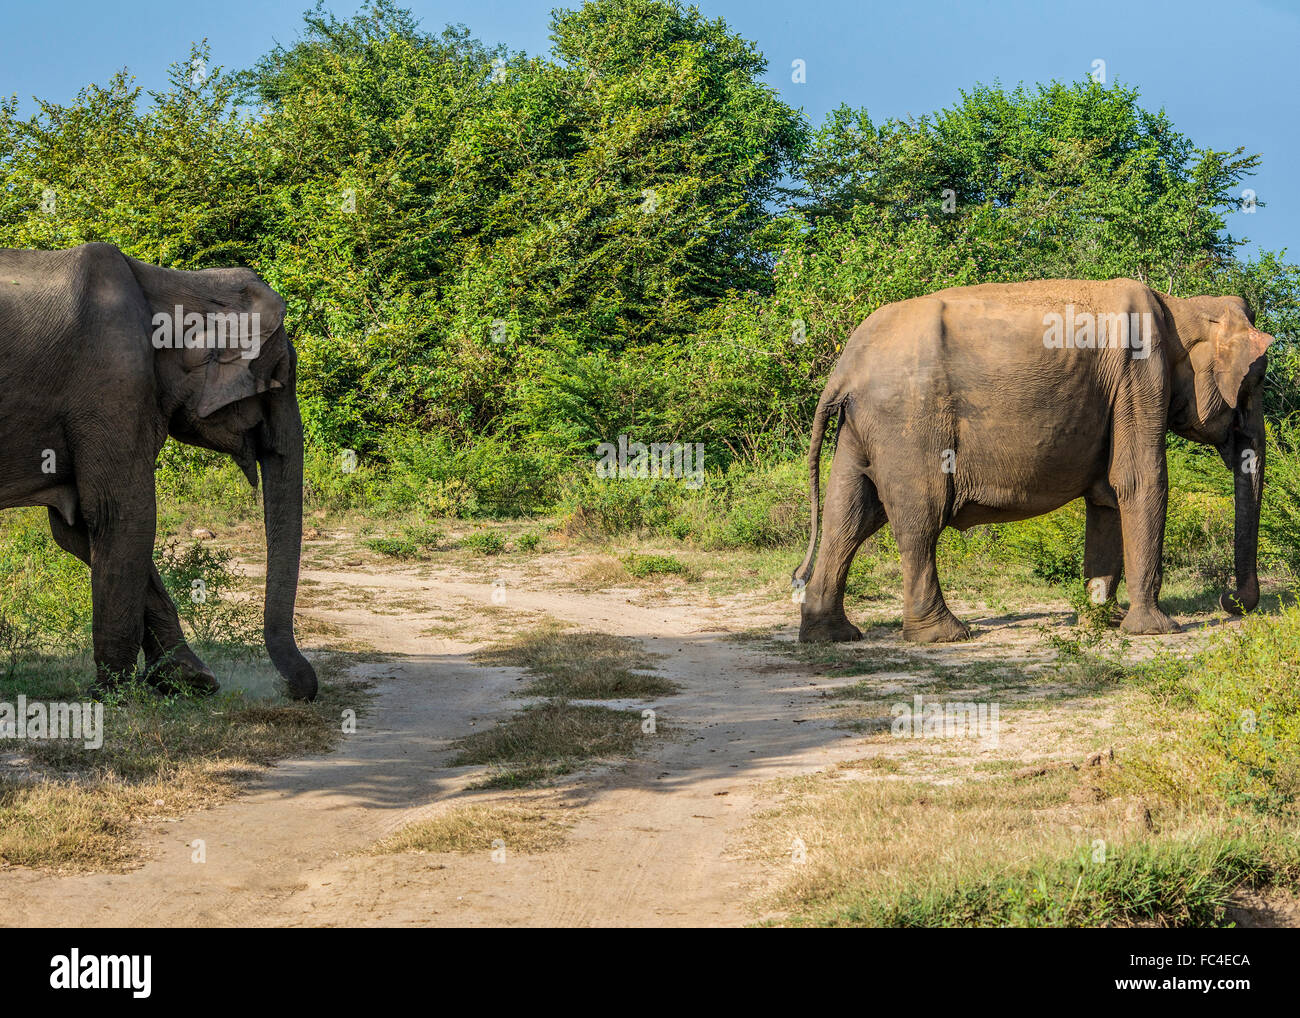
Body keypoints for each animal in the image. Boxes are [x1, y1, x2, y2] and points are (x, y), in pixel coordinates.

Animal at [0, 242, 317, 699]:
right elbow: (122, 514)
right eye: (279, 379)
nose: (296, 690)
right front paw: (110, 694)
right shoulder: (114, 380)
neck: (175, 281)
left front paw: (189, 680)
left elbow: (77, 528)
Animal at [793, 278, 1273, 644]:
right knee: (919, 519)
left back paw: (832, 635)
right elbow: (1139, 481)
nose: (1229, 601)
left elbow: (1107, 497)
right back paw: (945, 635)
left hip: (862, 427)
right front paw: (1154, 630)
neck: (1184, 307)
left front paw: (1103, 621)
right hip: (908, 424)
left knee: (849, 516)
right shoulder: (1139, 375)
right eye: (1252, 388)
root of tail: (845, 368)